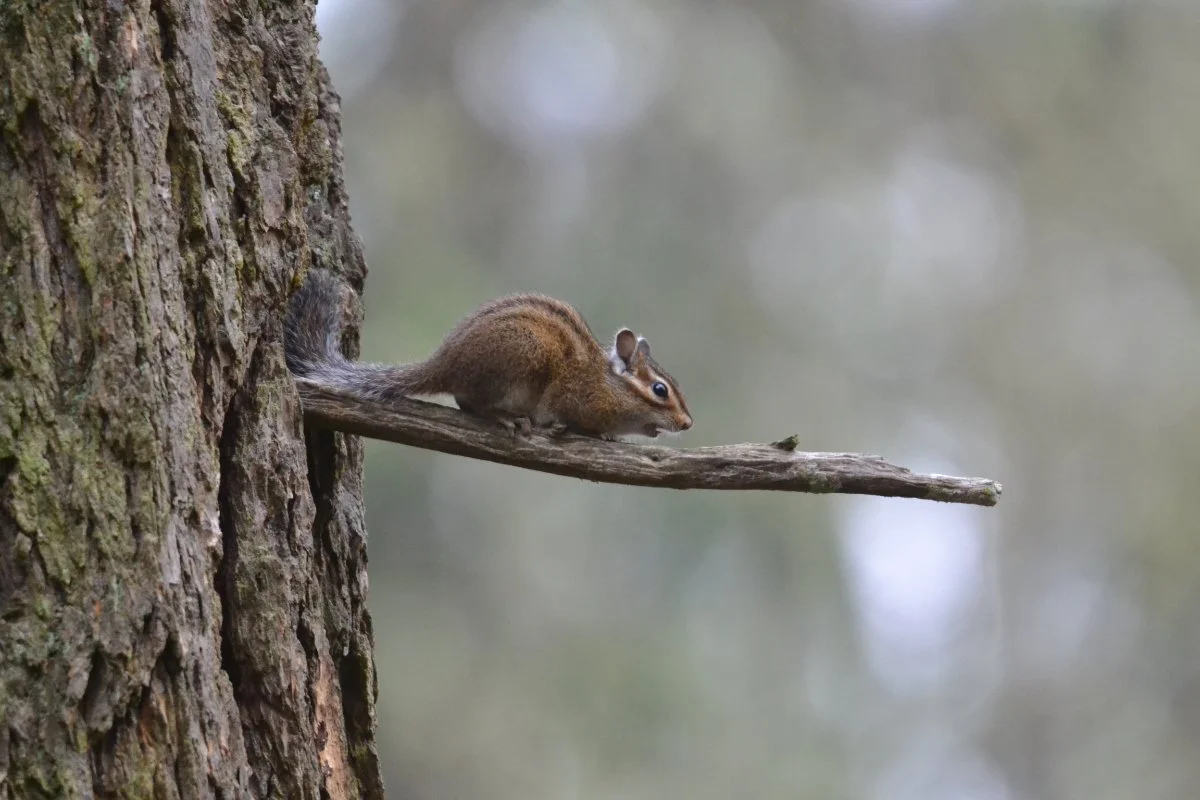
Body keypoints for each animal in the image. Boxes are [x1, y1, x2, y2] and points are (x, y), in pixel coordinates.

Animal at [284, 270, 693, 440]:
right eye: (660, 390)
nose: (688, 424)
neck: (607, 383)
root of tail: (443, 363)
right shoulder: (578, 400)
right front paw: (602, 434)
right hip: (522, 359)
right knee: (473, 403)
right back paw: (506, 418)